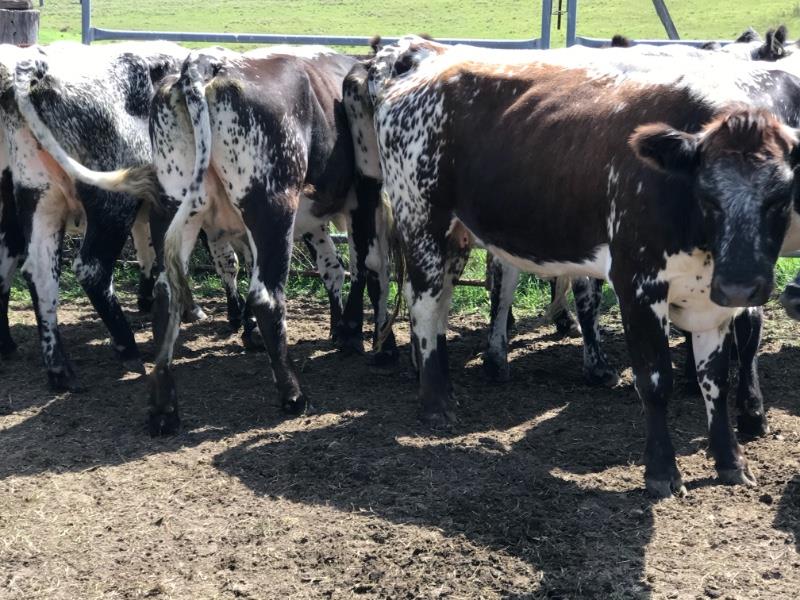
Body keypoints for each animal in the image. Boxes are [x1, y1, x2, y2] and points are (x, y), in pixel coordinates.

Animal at [366, 36, 800, 497]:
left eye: (780, 197)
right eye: (707, 195)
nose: (740, 285)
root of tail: (424, 54)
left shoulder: (708, 299)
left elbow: (715, 379)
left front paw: (730, 461)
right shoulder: (638, 286)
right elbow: (654, 380)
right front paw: (662, 471)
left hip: (457, 234)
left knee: (441, 304)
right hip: (421, 219)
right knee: (425, 305)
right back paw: (435, 403)